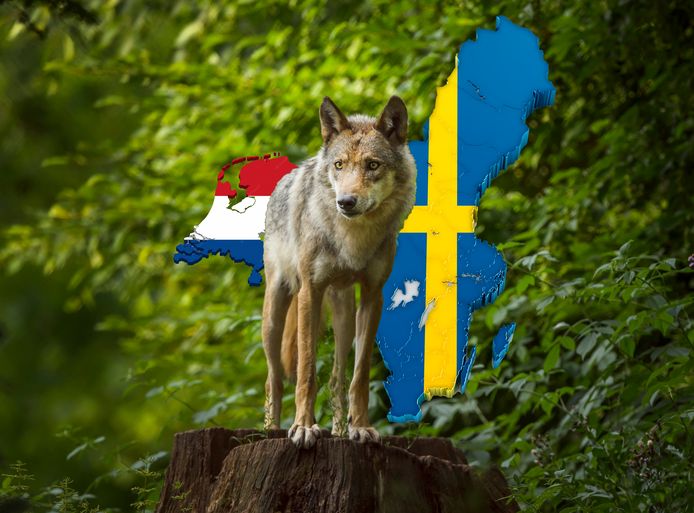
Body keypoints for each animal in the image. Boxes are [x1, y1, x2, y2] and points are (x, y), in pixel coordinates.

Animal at [262, 95, 417, 449]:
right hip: (276, 313)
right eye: (339, 165)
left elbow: (359, 376)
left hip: (344, 317)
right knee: (274, 378)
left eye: (372, 165)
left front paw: (361, 428)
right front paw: (303, 427)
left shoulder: (373, 296)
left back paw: (339, 432)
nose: (345, 202)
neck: (353, 240)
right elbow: (306, 372)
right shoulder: (310, 292)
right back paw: (272, 430)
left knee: (336, 379)